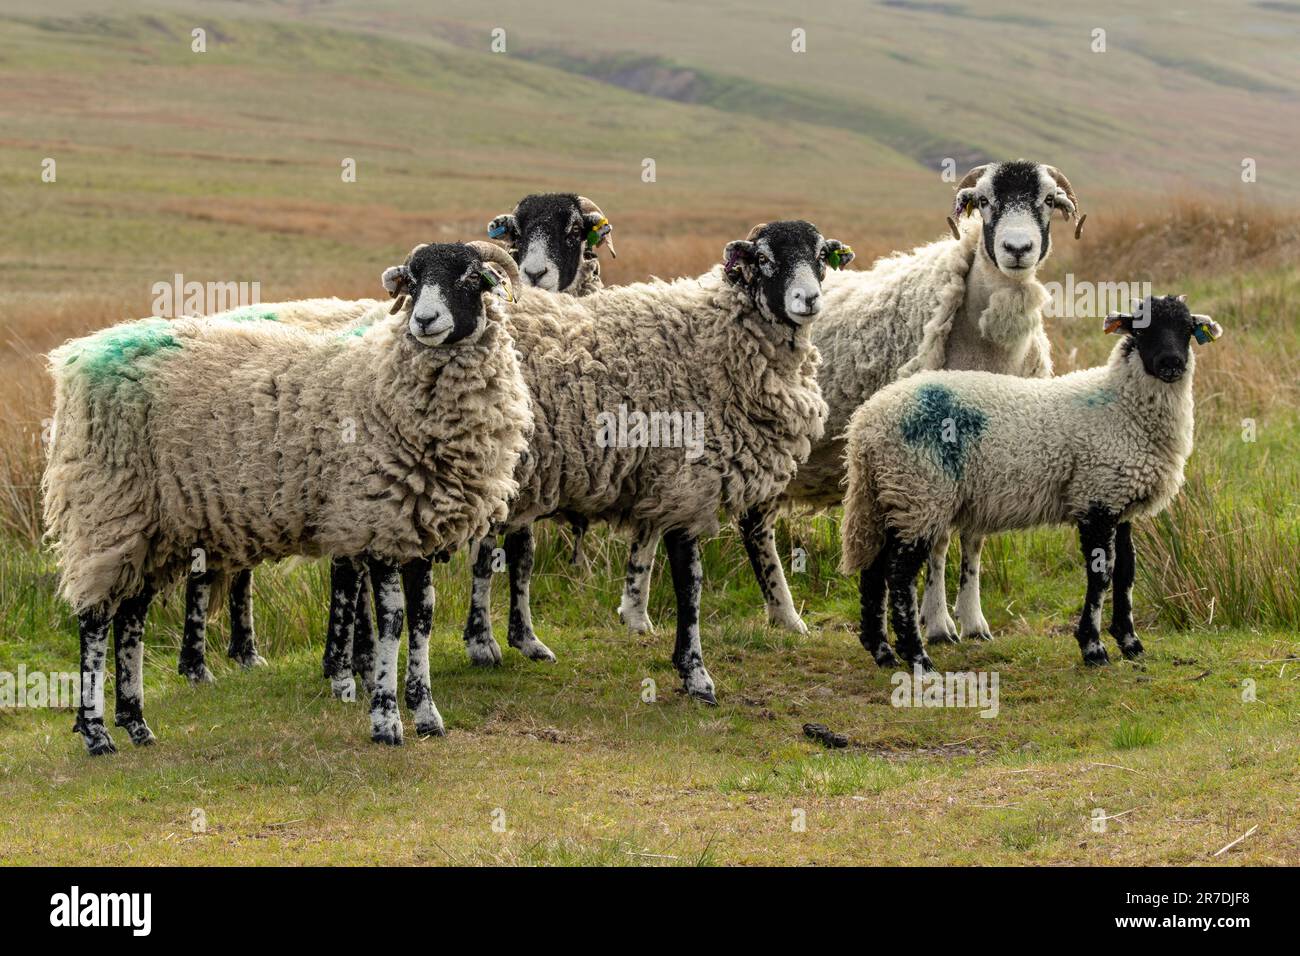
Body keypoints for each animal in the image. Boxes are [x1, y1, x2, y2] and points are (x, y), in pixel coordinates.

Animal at [42, 241, 533, 753]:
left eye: (469, 278)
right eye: (413, 283)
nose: (424, 320)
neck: (382, 377)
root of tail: (80, 355)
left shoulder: (417, 530)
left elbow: (422, 620)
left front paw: (427, 714)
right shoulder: (375, 522)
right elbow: (393, 622)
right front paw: (385, 719)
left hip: (155, 528)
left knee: (130, 617)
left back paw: (136, 723)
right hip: (108, 506)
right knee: (95, 620)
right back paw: (97, 733)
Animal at [445, 221, 848, 702]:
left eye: (821, 256)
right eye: (765, 259)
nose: (809, 300)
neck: (719, 337)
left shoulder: (669, 486)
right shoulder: (689, 486)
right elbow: (690, 585)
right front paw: (695, 674)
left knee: (500, 550)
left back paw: (512, 642)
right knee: (484, 554)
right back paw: (482, 644)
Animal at [615, 161, 1085, 645]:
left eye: (1048, 200)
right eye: (986, 201)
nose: (1017, 249)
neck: (983, 342)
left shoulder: (990, 456)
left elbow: (973, 538)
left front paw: (973, 621)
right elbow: (938, 543)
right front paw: (938, 623)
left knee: (668, 516)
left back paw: (648, 615)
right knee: (747, 526)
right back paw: (773, 616)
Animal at [839, 295, 1221, 669]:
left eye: (1186, 329)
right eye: (1141, 330)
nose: (1172, 363)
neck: (1122, 405)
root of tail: (865, 425)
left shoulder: (1120, 501)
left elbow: (1126, 573)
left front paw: (1130, 643)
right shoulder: (1094, 498)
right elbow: (1100, 575)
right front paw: (1093, 648)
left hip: (890, 495)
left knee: (874, 568)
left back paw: (882, 652)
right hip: (920, 491)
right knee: (899, 574)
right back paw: (916, 656)